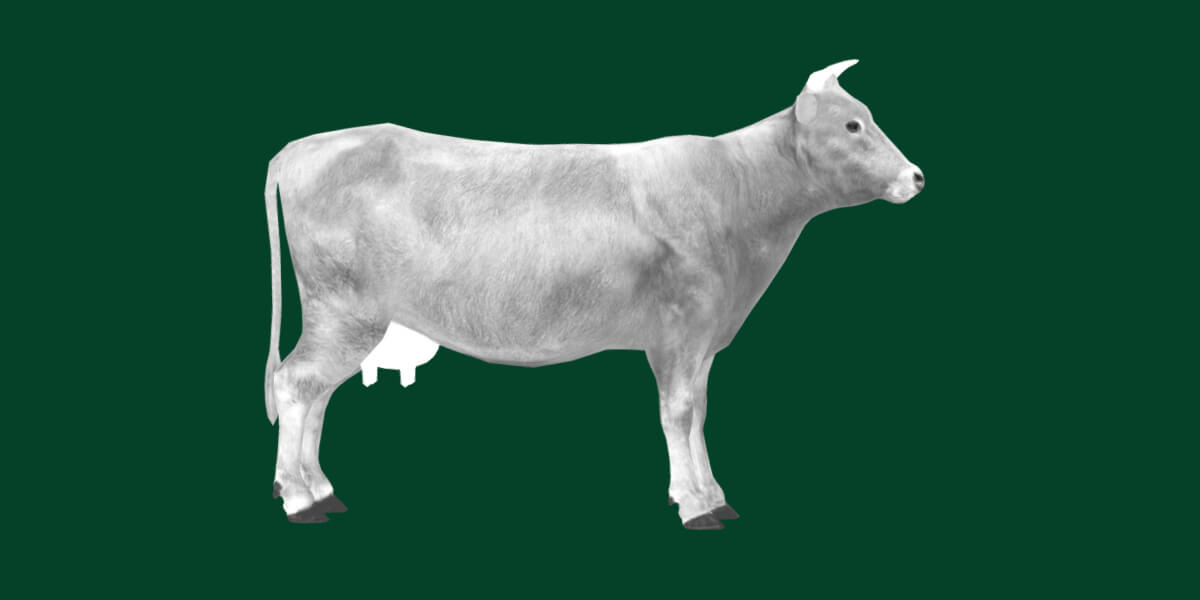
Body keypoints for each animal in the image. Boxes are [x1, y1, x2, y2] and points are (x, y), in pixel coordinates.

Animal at [263, 60, 924, 529]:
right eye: (852, 124)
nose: (916, 176)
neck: (737, 191)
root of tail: (302, 146)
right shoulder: (681, 332)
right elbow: (678, 411)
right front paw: (695, 504)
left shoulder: (705, 339)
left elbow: (699, 412)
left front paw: (711, 494)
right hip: (343, 310)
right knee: (296, 384)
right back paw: (300, 498)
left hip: (343, 317)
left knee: (316, 393)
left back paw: (318, 487)